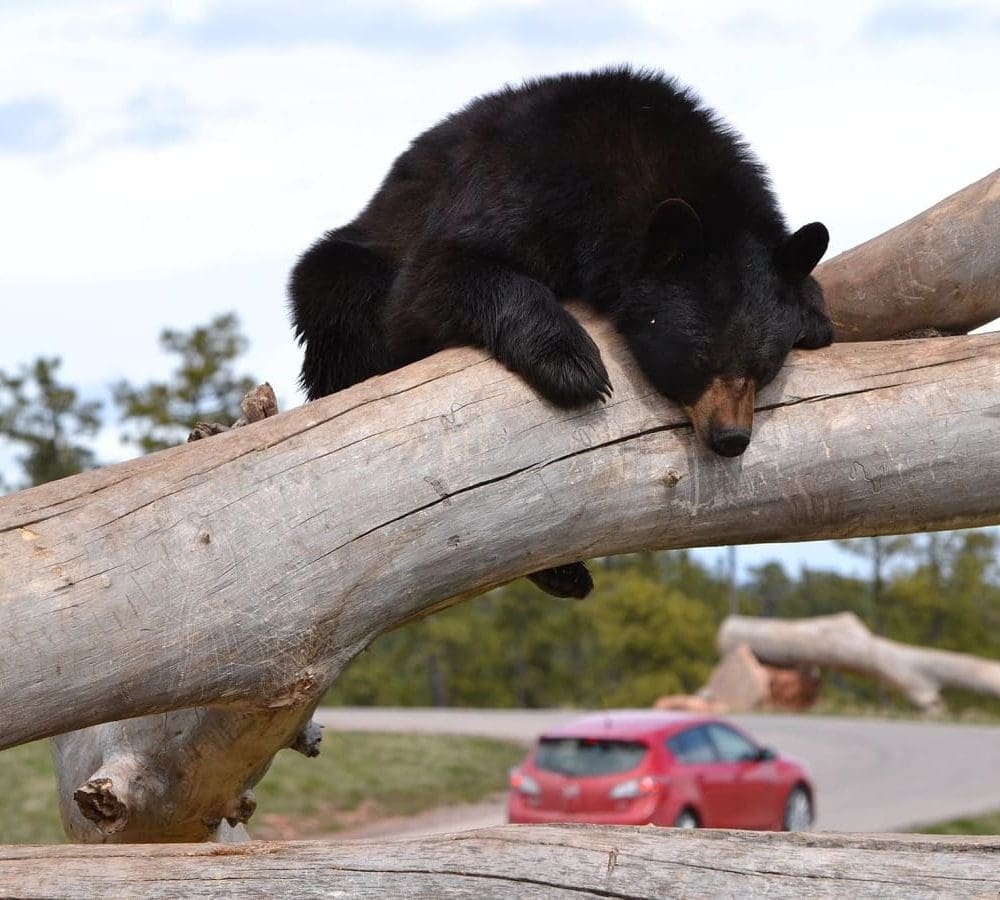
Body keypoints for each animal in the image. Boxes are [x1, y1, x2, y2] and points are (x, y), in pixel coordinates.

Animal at [289, 66, 833, 600]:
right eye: (698, 360)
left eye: (764, 368)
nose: (731, 438)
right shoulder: (517, 185)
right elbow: (432, 279)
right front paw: (573, 364)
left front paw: (814, 312)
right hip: (341, 276)